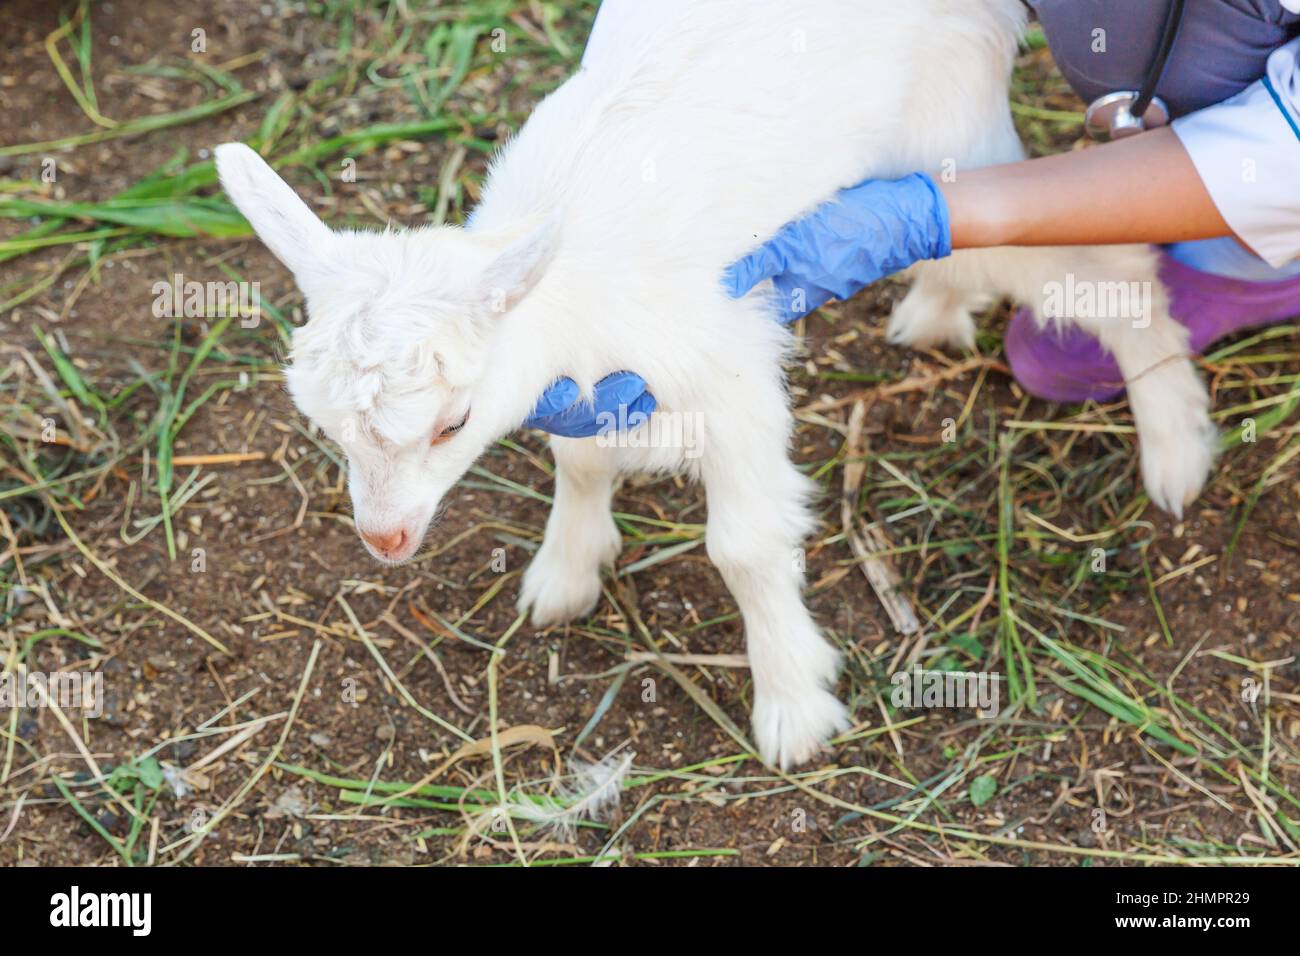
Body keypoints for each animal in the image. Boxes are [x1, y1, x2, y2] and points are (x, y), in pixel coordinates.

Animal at [216, 0, 1216, 768]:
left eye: (452, 424)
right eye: (323, 429)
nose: (383, 540)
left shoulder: (731, 371)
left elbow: (742, 546)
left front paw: (793, 706)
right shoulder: (595, 380)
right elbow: (582, 462)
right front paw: (566, 574)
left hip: (956, 140)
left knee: (1105, 270)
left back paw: (1175, 452)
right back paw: (934, 311)